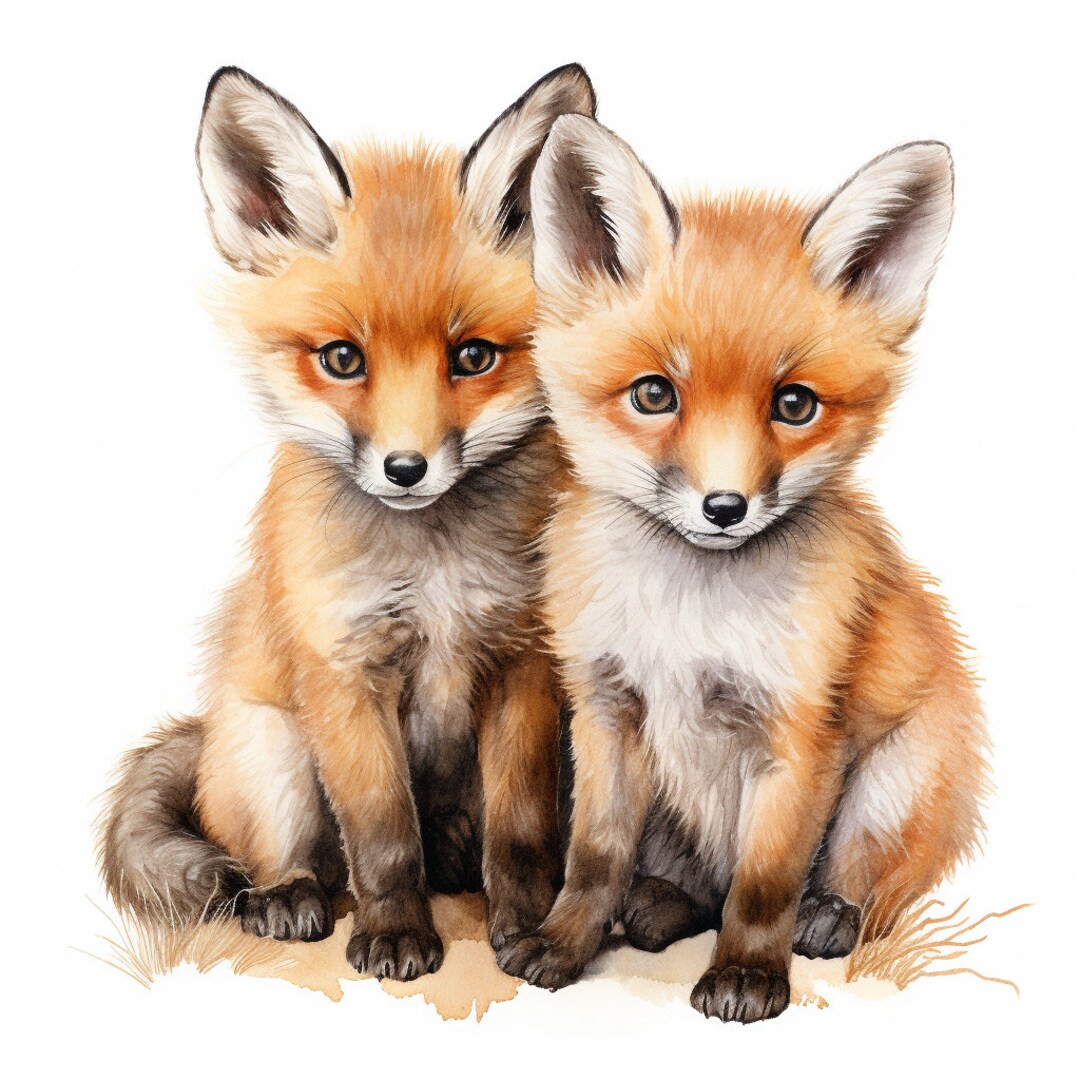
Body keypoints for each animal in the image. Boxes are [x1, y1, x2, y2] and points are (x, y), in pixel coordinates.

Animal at [99, 64, 597, 980]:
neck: (434, 571)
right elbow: (382, 833)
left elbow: (521, 831)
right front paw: (395, 933)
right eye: (342, 358)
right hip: (276, 757)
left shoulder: (523, 667)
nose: (406, 469)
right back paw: (289, 897)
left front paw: (524, 924)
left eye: (472, 356)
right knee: (292, 857)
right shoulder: (344, 670)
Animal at [497, 115, 990, 1021]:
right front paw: (561, 942)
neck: (687, 622)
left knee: (859, 883)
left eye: (794, 404)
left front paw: (749, 975)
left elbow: (763, 885)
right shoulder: (606, 710)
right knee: (692, 887)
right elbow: (593, 857)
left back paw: (828, 915)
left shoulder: (800, 733)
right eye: (654, 395)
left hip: (891, 785)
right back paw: (655, 906)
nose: (724, 507)